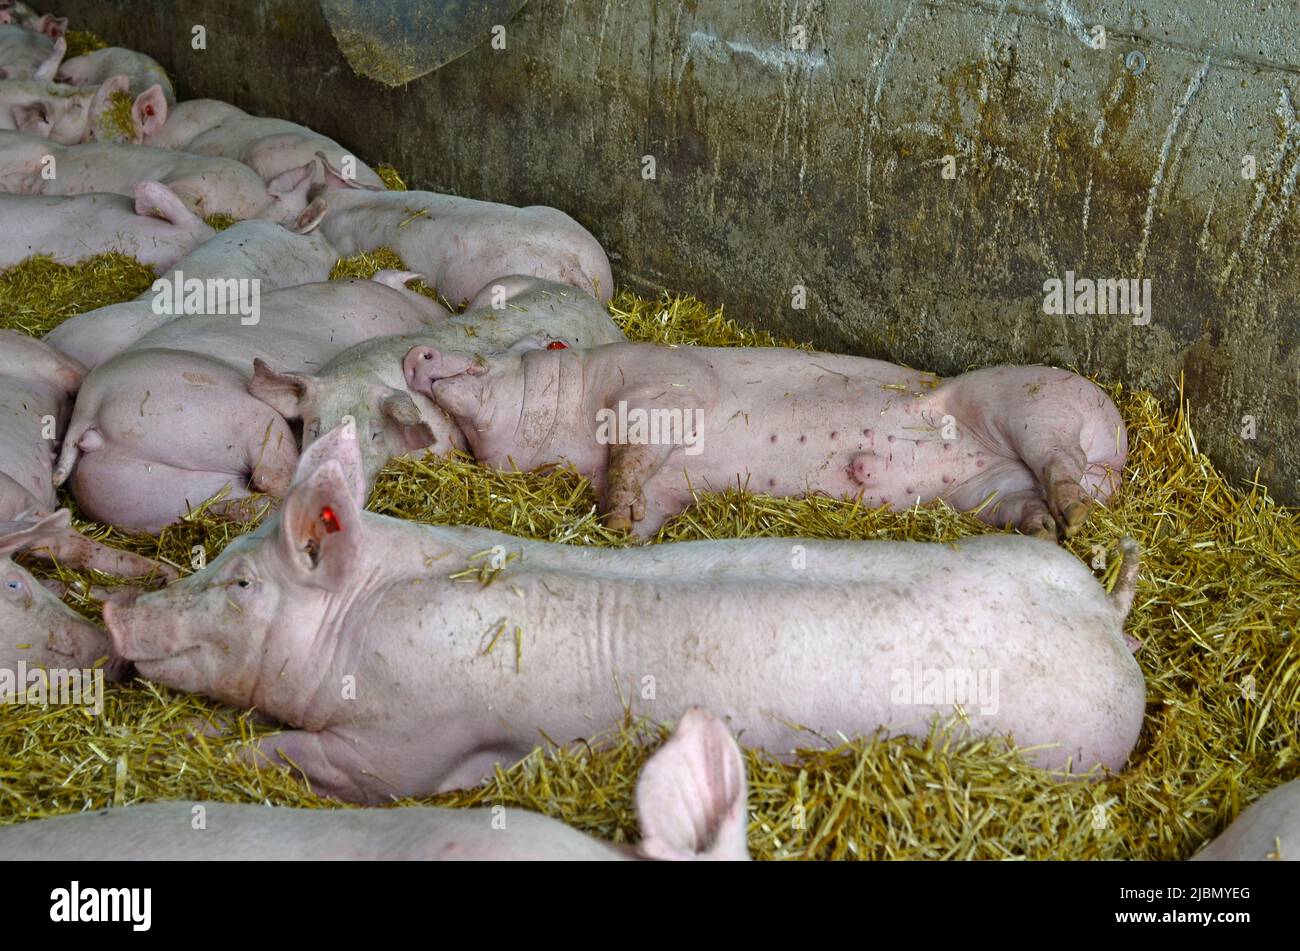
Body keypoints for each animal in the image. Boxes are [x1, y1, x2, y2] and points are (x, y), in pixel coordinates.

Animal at [54, 275, 451, 532]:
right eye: (417, 291)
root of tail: (91, 408)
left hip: (138, 491)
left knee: (236, 503)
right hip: (231, 411)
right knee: (274, 477)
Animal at [103, 418, 1146, 804]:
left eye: (244, 585)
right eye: (221, 558)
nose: (116, 613)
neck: (362, 616)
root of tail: (1112, 619)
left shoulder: (403, 744)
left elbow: (297, 755)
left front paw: (210, 747)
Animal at [404, 342, 1127, 541]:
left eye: (487, 360)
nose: (417, 354)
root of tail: (1115, 452)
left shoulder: (661, 385)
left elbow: (634, 449)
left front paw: (613, 511)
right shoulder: (670, 488)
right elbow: (652, 501)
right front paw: (623, 527)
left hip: (1030, 405)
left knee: (1058, 458)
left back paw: (1075, 517)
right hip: (983, 491)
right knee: (1024, 500)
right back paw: (1045, 529)